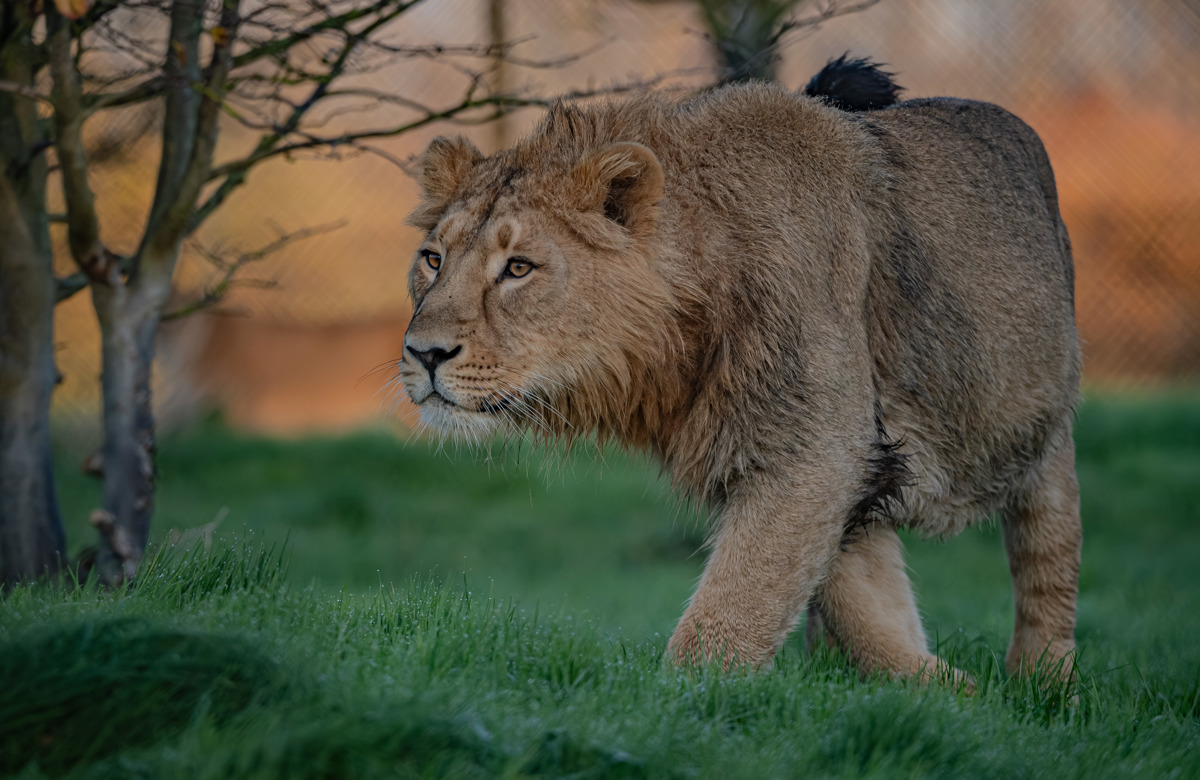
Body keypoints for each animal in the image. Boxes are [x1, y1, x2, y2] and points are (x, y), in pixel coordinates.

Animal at [398, 57, 1081, 683]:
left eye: (518, 268)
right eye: (433, 259)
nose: (424, 354)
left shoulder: (817, 447)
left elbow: (732, 612)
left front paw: (680, 705)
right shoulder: (838, 459)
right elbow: (860, 604)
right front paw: (944, 691)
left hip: (1049, 431)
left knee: (1049, 567)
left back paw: (1045, 684)